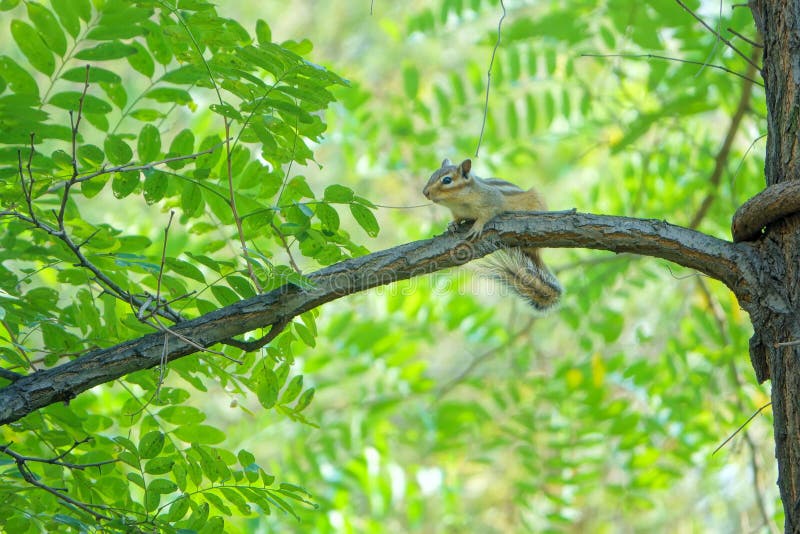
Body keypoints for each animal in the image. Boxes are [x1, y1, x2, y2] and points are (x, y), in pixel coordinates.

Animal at [422, 158, 562, 312]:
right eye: (432, 175)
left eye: (447, 180)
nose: (425, 192)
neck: (459, 203)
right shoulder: (457, 212)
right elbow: (457, 219)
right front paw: (452, 225)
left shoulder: (493, 200)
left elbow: (486, 215)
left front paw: (477, 227)